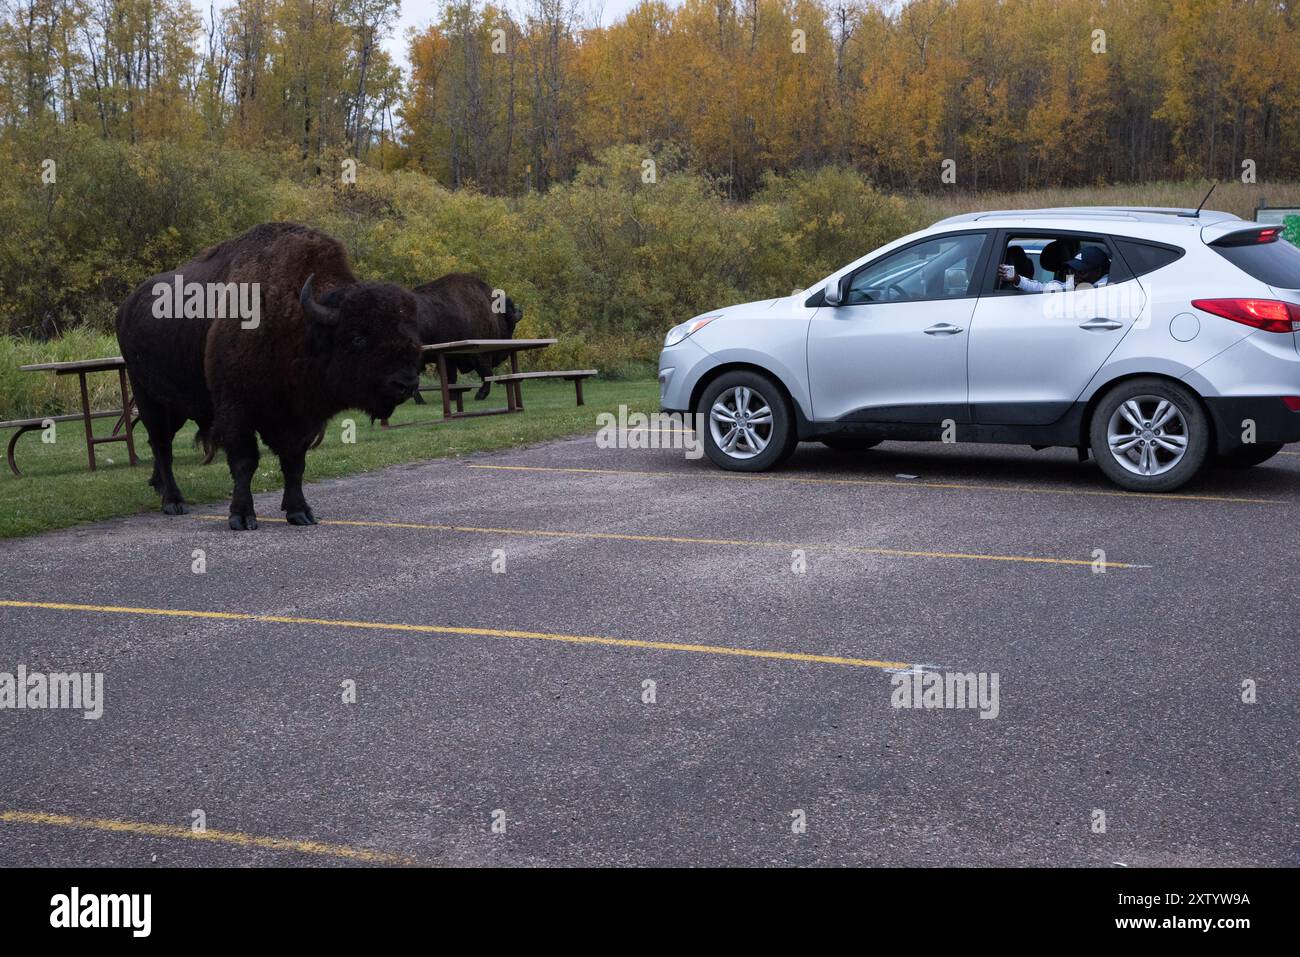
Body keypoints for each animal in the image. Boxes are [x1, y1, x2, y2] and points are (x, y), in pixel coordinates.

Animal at [116, 222, 422, 530]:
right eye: (358, 337)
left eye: (409, 333)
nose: (405, 383)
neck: (301, 326)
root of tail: (126, 307)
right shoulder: (236, 410)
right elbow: (245, 462)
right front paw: (241, 516)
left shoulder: (300, 418)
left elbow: (294, 463)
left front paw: (300, 512)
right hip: (148, 399)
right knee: (162, 446)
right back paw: (174, 502)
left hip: (176, 407)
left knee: (159, 445)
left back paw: (159, 488)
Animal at [410, 273, 522, 401]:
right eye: (510, 326)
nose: (504, 356)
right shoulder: (480, 354)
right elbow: (487, 373)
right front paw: (480, 395)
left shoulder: (450, 358)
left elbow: (451, 378)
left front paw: (453, 396)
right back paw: (421, 401)